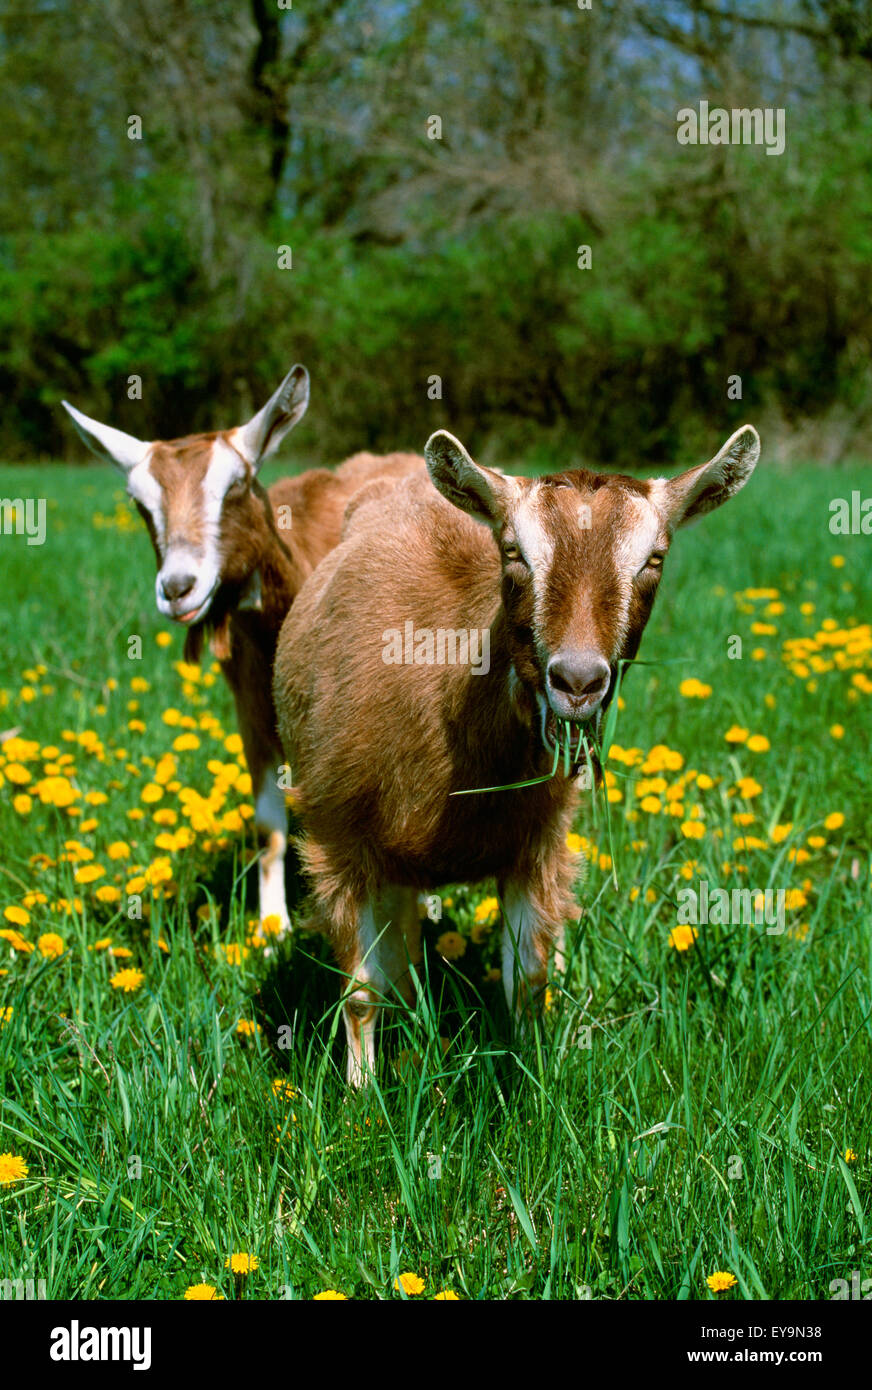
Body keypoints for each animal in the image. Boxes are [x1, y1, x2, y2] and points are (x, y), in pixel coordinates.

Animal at [62, 368, 423, 935]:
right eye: (141, 504)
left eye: (234, 486)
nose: (178, 588)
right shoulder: (250, 714)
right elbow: (269, 829)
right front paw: (271, 932)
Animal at [273, 424, 760, 1082]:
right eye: (513, 552)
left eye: (654, 558)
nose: (577, 681)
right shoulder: (339, 838)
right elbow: (360, 993)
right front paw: (360, 1096)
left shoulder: (536, 842)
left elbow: (527, 980)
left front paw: (533, 1078)